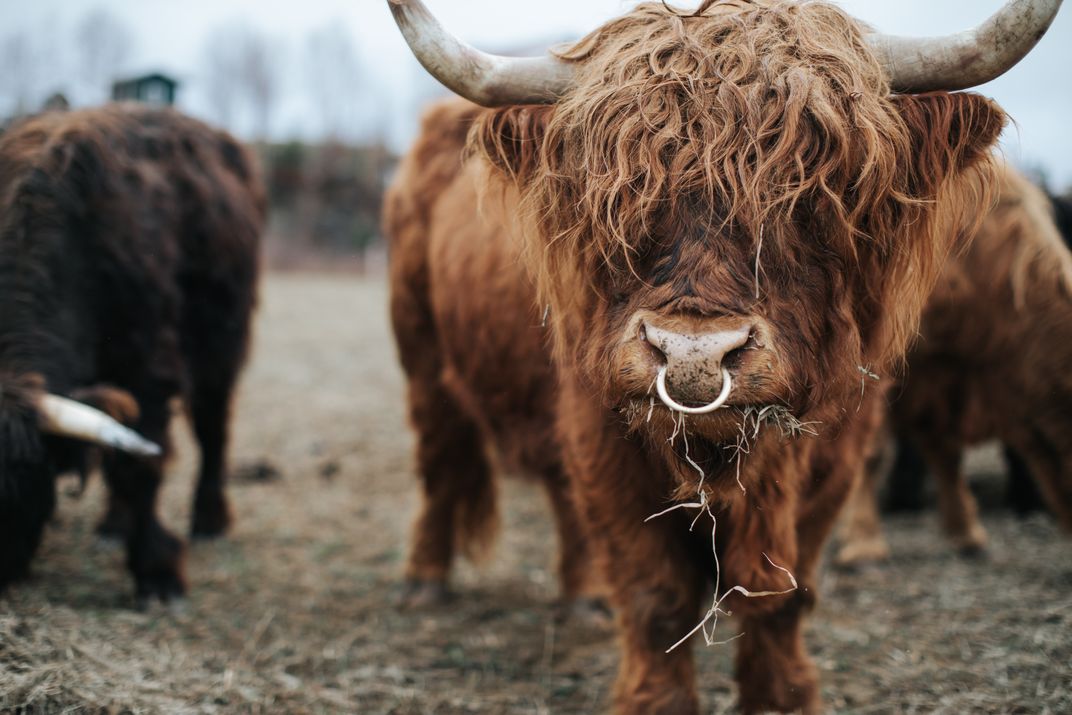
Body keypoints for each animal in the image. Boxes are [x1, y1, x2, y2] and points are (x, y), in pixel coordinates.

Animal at [0, 104, 263, 604]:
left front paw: (157, 575)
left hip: (223, 339)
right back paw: (113, 525)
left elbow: (140, 465)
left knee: (213, 428)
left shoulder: (148, 366)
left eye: (18, 479)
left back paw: (209, 520)